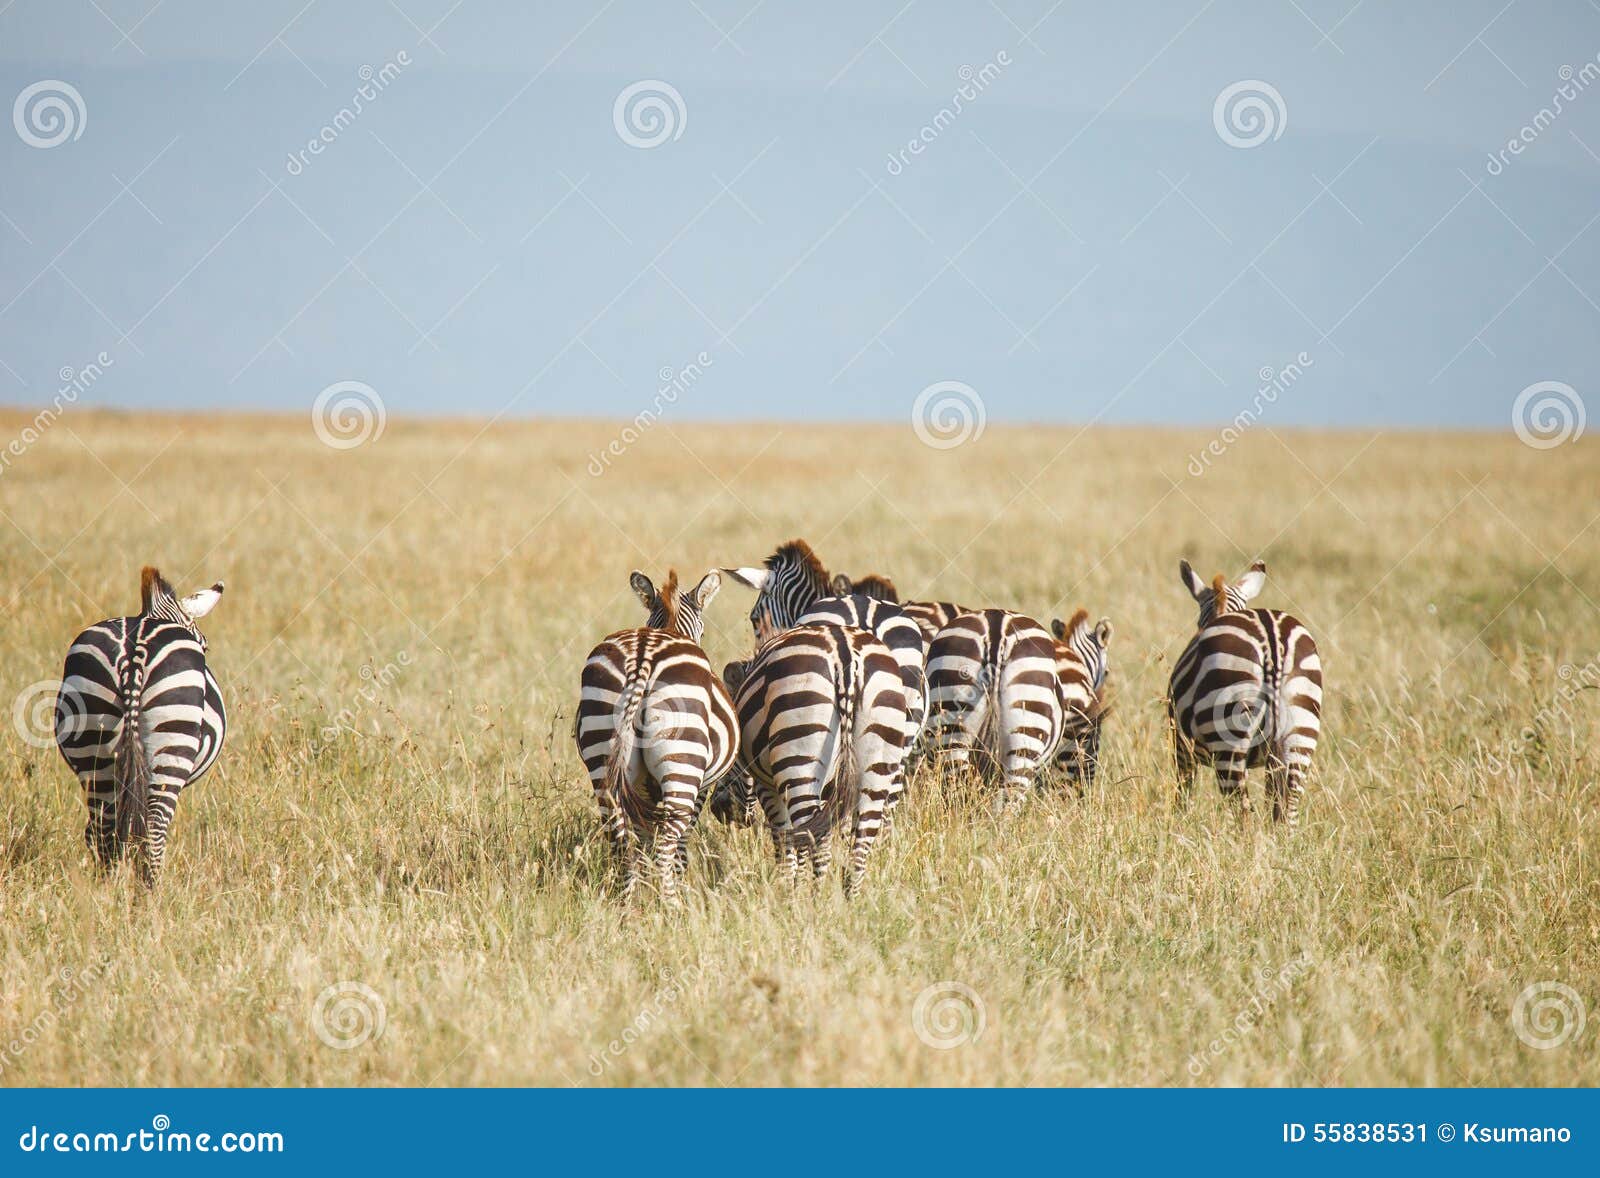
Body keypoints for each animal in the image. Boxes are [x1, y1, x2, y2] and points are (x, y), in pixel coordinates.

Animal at [55, 567, 226, 885]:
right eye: (205, 645)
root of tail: (132, 655)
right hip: (172, 745)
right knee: (155, 833)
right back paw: (150, 894)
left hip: (92, 743)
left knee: (103, 832)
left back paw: (108, 891)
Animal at [575, 569, 739, 897]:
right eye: (704, 631)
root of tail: (641, 658)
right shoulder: (701, 787)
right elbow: (679, 843)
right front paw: (677, 879)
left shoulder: (639, 786)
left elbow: (643, 838)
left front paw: (645, 884)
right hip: (683, 762)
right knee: (666, 845)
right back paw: (672, 905)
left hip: (603, 759)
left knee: (620, 842)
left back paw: (629, 903)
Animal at [727, 621, 907, 895]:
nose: (724, 813)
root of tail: (845, 653)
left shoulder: (767, 786)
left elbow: (785, 842)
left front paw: (788, 890)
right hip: (879, 755)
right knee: (861, 843)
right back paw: (850, 899)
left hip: (800, 758)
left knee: (817, 841)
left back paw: (815, 900)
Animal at [925, 606, 1111, 811]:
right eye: (1107, 673)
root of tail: (996, 630)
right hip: (1025, 733)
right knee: (1008, 803)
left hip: (951, 722)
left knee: (960, 794)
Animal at [1167, 559, 1323, 825]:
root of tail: (1273, 641)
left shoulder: (1181, 745)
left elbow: (1183, 793)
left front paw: (1177, 827)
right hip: (1302, 731)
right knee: (1287, 809)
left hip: (1227, 731)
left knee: (1242, 813)